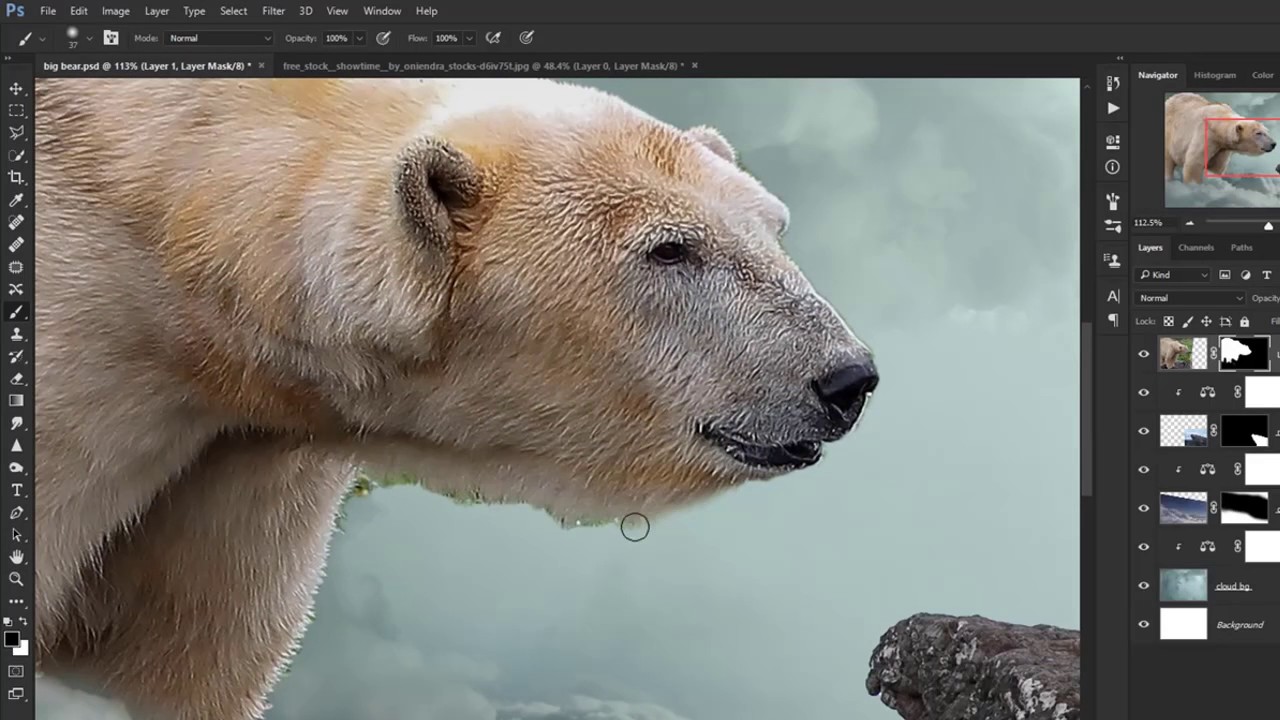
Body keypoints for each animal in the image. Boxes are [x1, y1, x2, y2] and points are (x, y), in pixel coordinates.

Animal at [33, 78, 878, 720]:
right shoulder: (87, 361)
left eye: (773, 226)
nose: (847, 378)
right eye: (670, 249)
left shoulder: (248, 451)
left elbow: (177, 653)